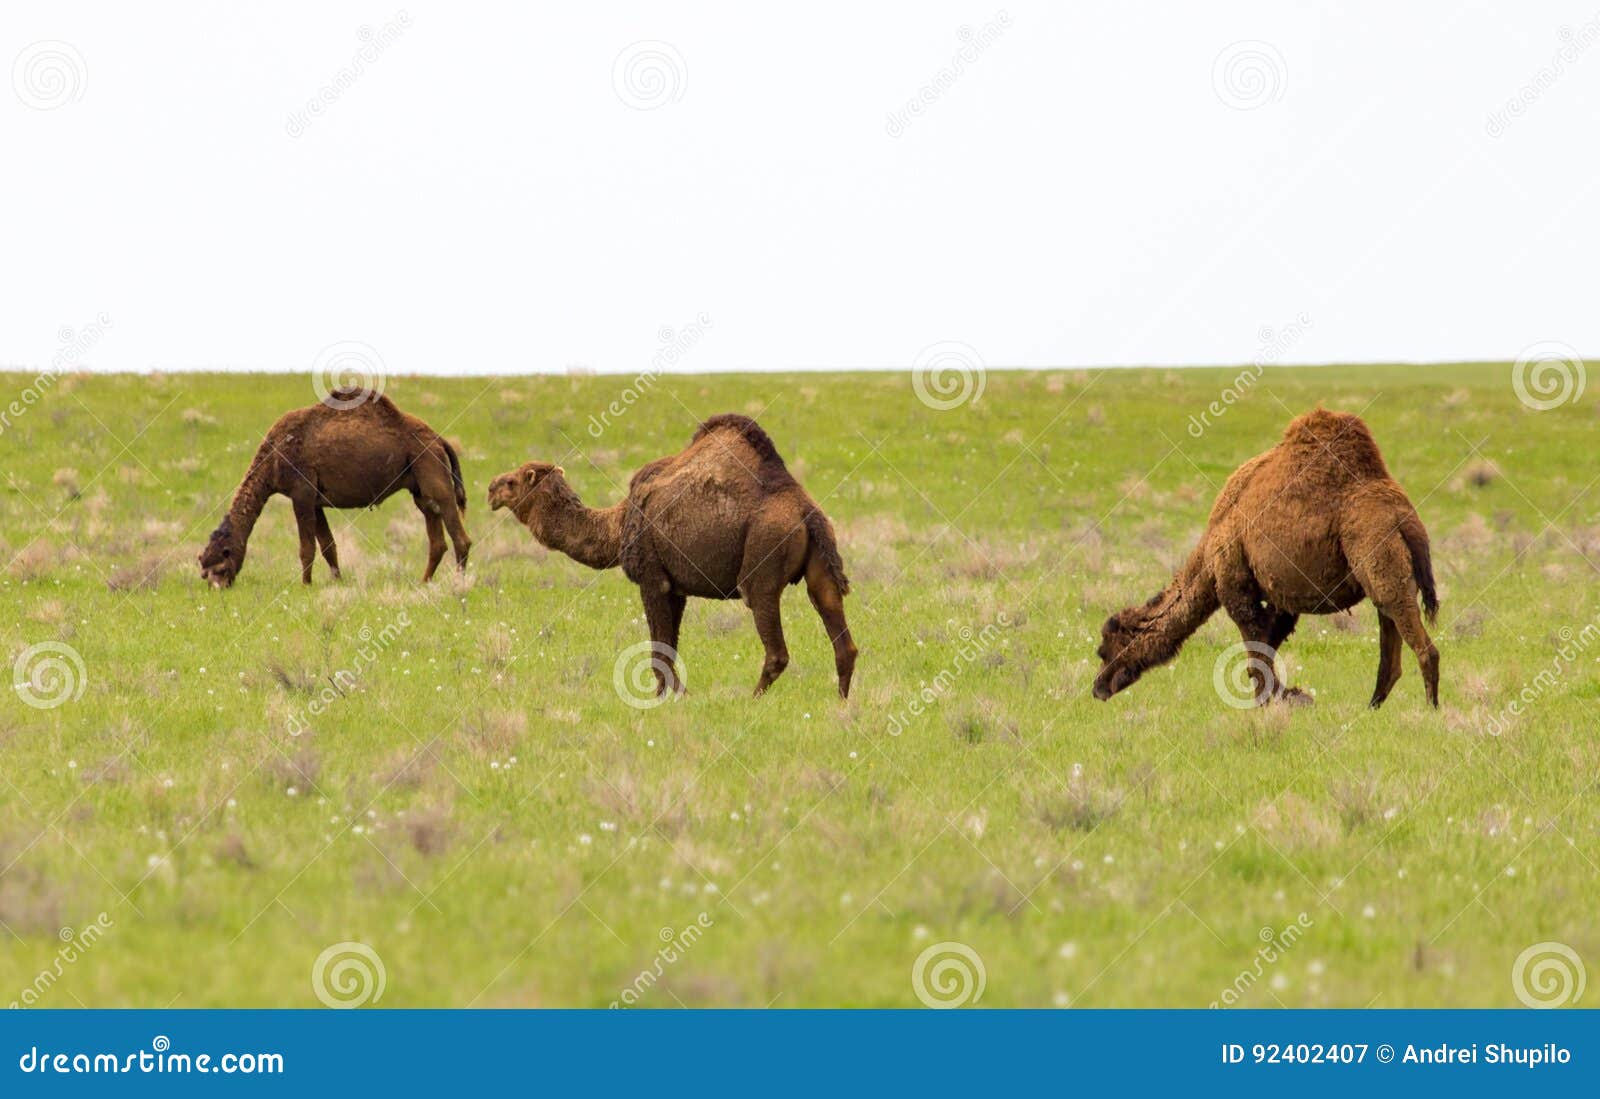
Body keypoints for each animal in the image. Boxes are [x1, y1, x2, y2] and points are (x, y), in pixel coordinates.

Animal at [198, 388, 469, 587]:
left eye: (221, 567)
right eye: (203, 570)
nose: (217, 588)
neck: (274, 457)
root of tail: (439, 439)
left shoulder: (301, 493)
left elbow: (307, 548)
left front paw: (305, 585)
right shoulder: (315, 500)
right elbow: (328, 545)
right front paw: (337, 581)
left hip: (432, 470)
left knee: (460, 536)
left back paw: (458, 584)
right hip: (421, 489)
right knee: (437, 538)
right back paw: (425, 581)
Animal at [488, 414, 857, 699]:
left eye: (513, 481)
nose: (490, 489)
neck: (618, 522)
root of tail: (807, 511)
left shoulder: (653, 579)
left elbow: (657, 652)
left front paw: (675, 696)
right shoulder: (677, 587)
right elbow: (668, 648)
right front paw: (672, 695)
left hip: (763, 556)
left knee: (775, 645)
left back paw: (753, 699)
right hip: (821, 563)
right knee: (838, 627)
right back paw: (841, 702)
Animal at [1092, 408, 1439, 709]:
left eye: (1106, 648)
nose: (1098, 688)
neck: (1208, 553)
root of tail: (1405, 519)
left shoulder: (1234, 582)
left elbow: (1256, 651)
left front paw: (1274, 702)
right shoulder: (1281, 597)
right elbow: (1268, 646)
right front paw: (1290, 697)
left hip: (1378, 557)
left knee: (1421, 644)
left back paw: (1430, 710)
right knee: (1390, 644)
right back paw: (1372, 707)